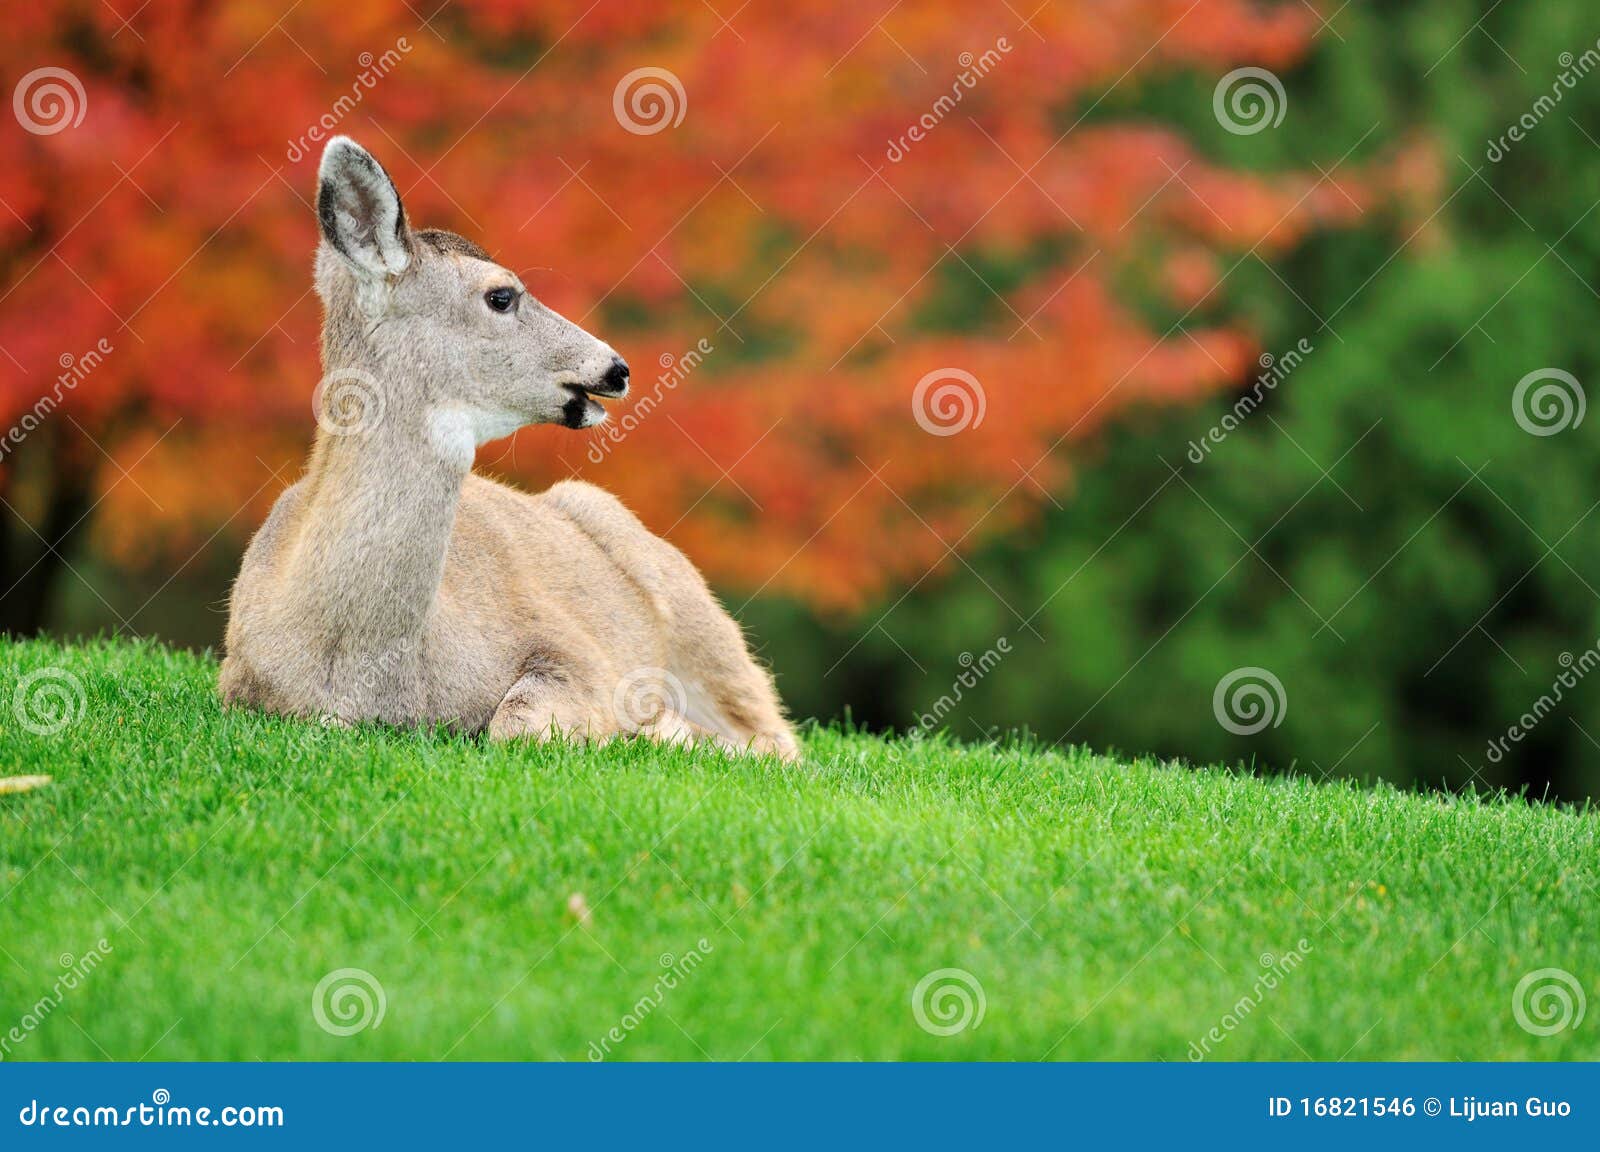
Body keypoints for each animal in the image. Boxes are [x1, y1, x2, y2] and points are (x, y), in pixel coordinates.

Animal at [218, 136, 798, 761]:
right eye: (502, 296)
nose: (616, 368)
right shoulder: (234, 687)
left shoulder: (573, 649)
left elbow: (516, 724)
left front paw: (651, 728)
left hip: (701, 618)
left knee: (778, 736)